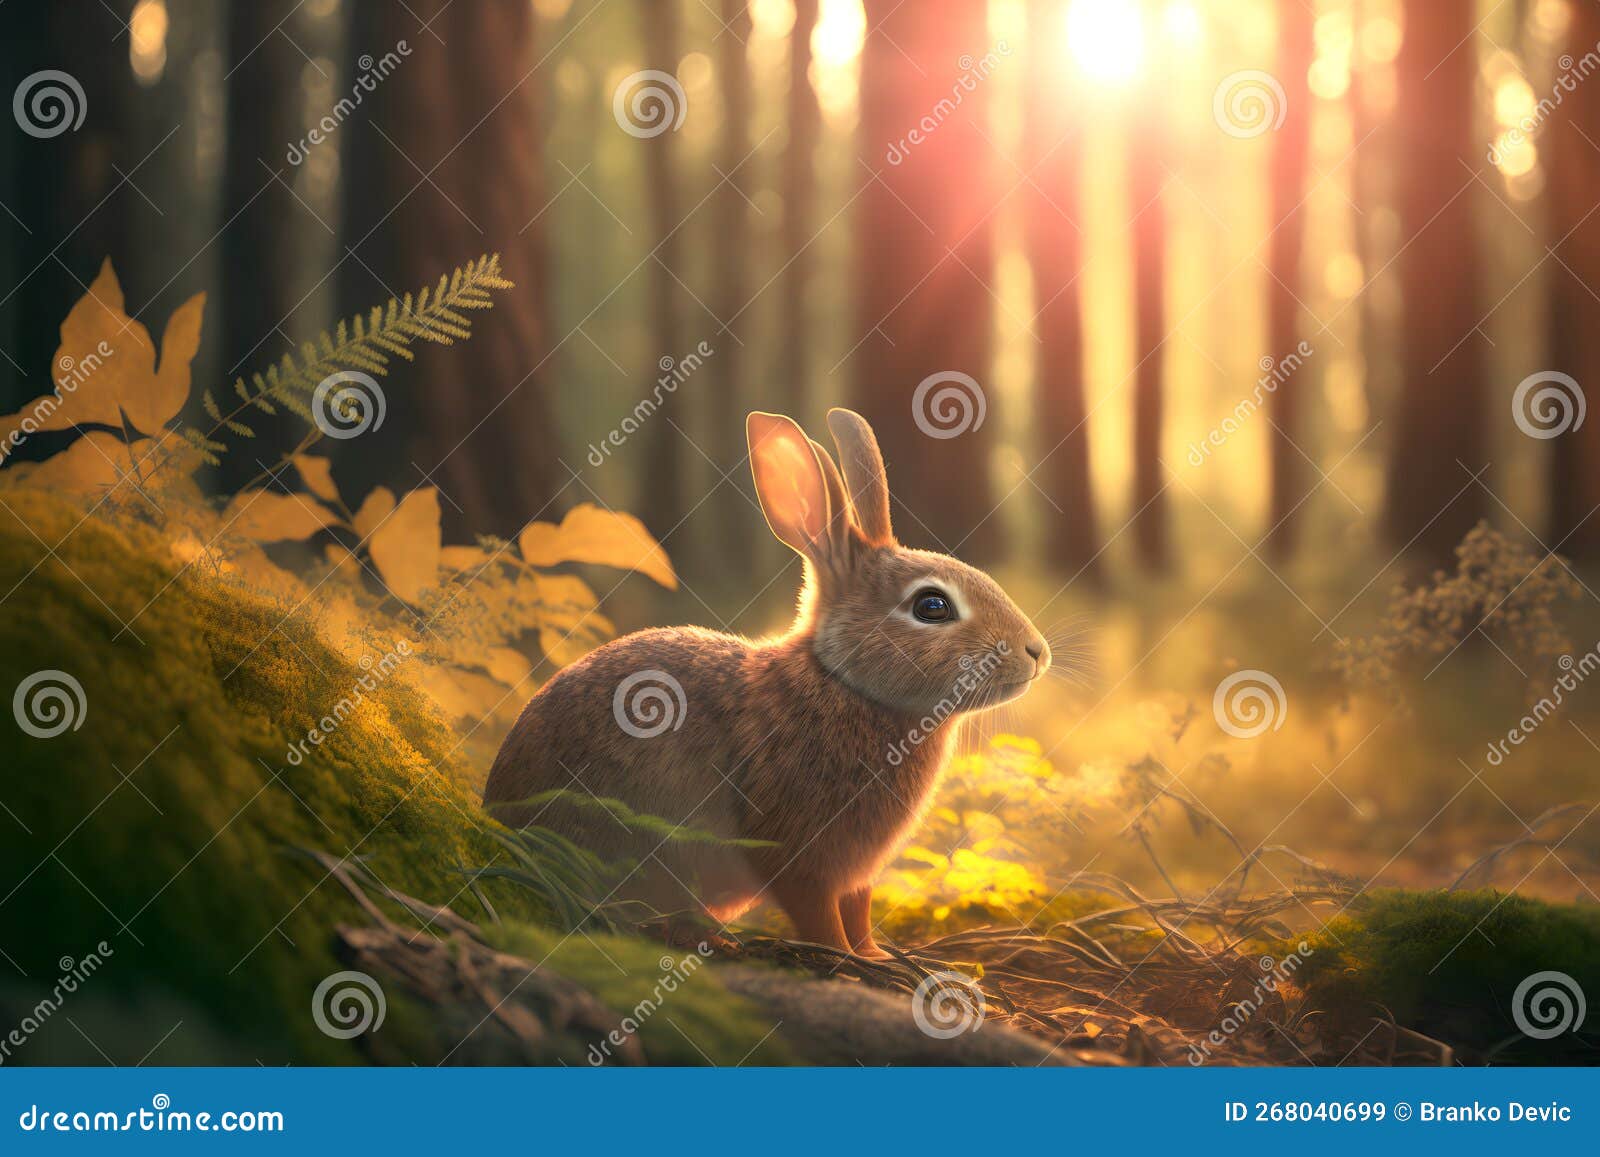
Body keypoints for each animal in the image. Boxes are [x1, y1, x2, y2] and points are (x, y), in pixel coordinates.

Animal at [484, 407, 1050, 958]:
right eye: (932, 606)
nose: (1036, 653)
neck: (845, 684)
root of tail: (496, 807)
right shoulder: (796, 853)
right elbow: (818, 913)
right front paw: (842, 959)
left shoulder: (857, 874)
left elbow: (858, 910)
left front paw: (874, 956)